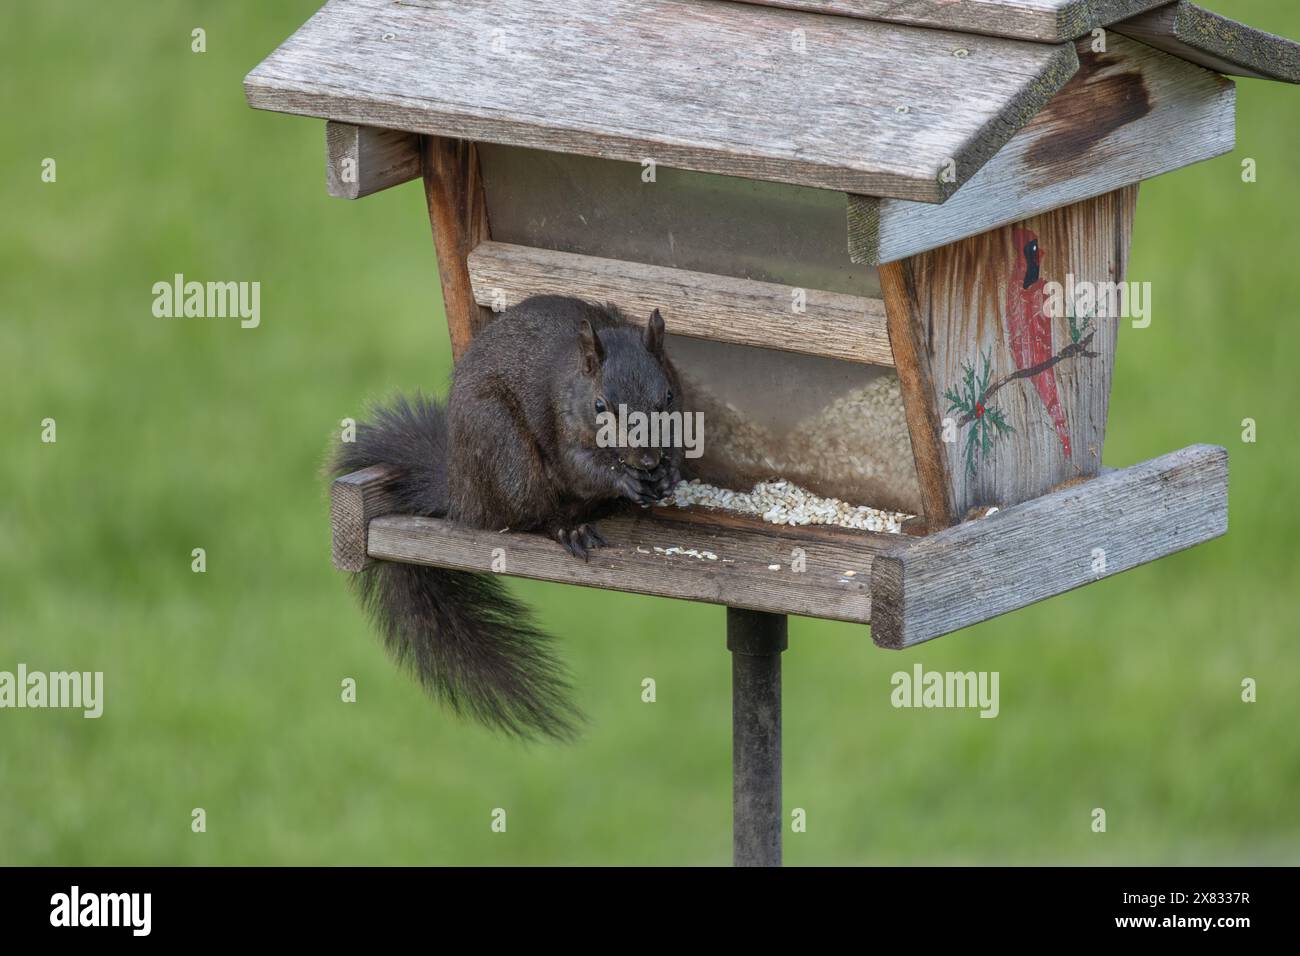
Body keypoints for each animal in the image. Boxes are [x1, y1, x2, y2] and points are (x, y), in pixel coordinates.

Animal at [332, 295, 684, 741]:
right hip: (504, 452)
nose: (648, 459)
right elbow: (583, 469)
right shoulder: (563, 428)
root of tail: (459, 492)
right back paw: (568, 528)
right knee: (528, 517)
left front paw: (669, 474)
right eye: (600, 406)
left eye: (669, 396)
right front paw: (623, 478)